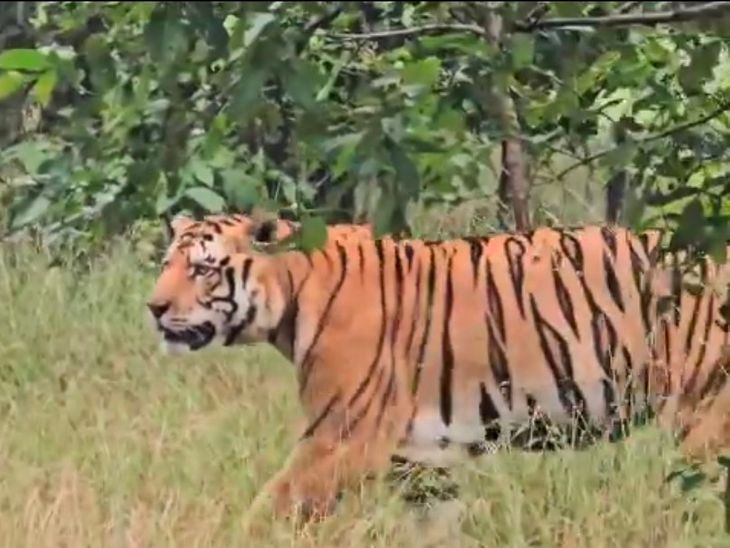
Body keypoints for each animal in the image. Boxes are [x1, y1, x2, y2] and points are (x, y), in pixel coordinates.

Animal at [146, 219, 730, 520]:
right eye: (167, 263)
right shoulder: (424, 457)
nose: (153, 307)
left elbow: (269, 508)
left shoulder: (341, 438)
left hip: (707, 422)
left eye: (202, 269)